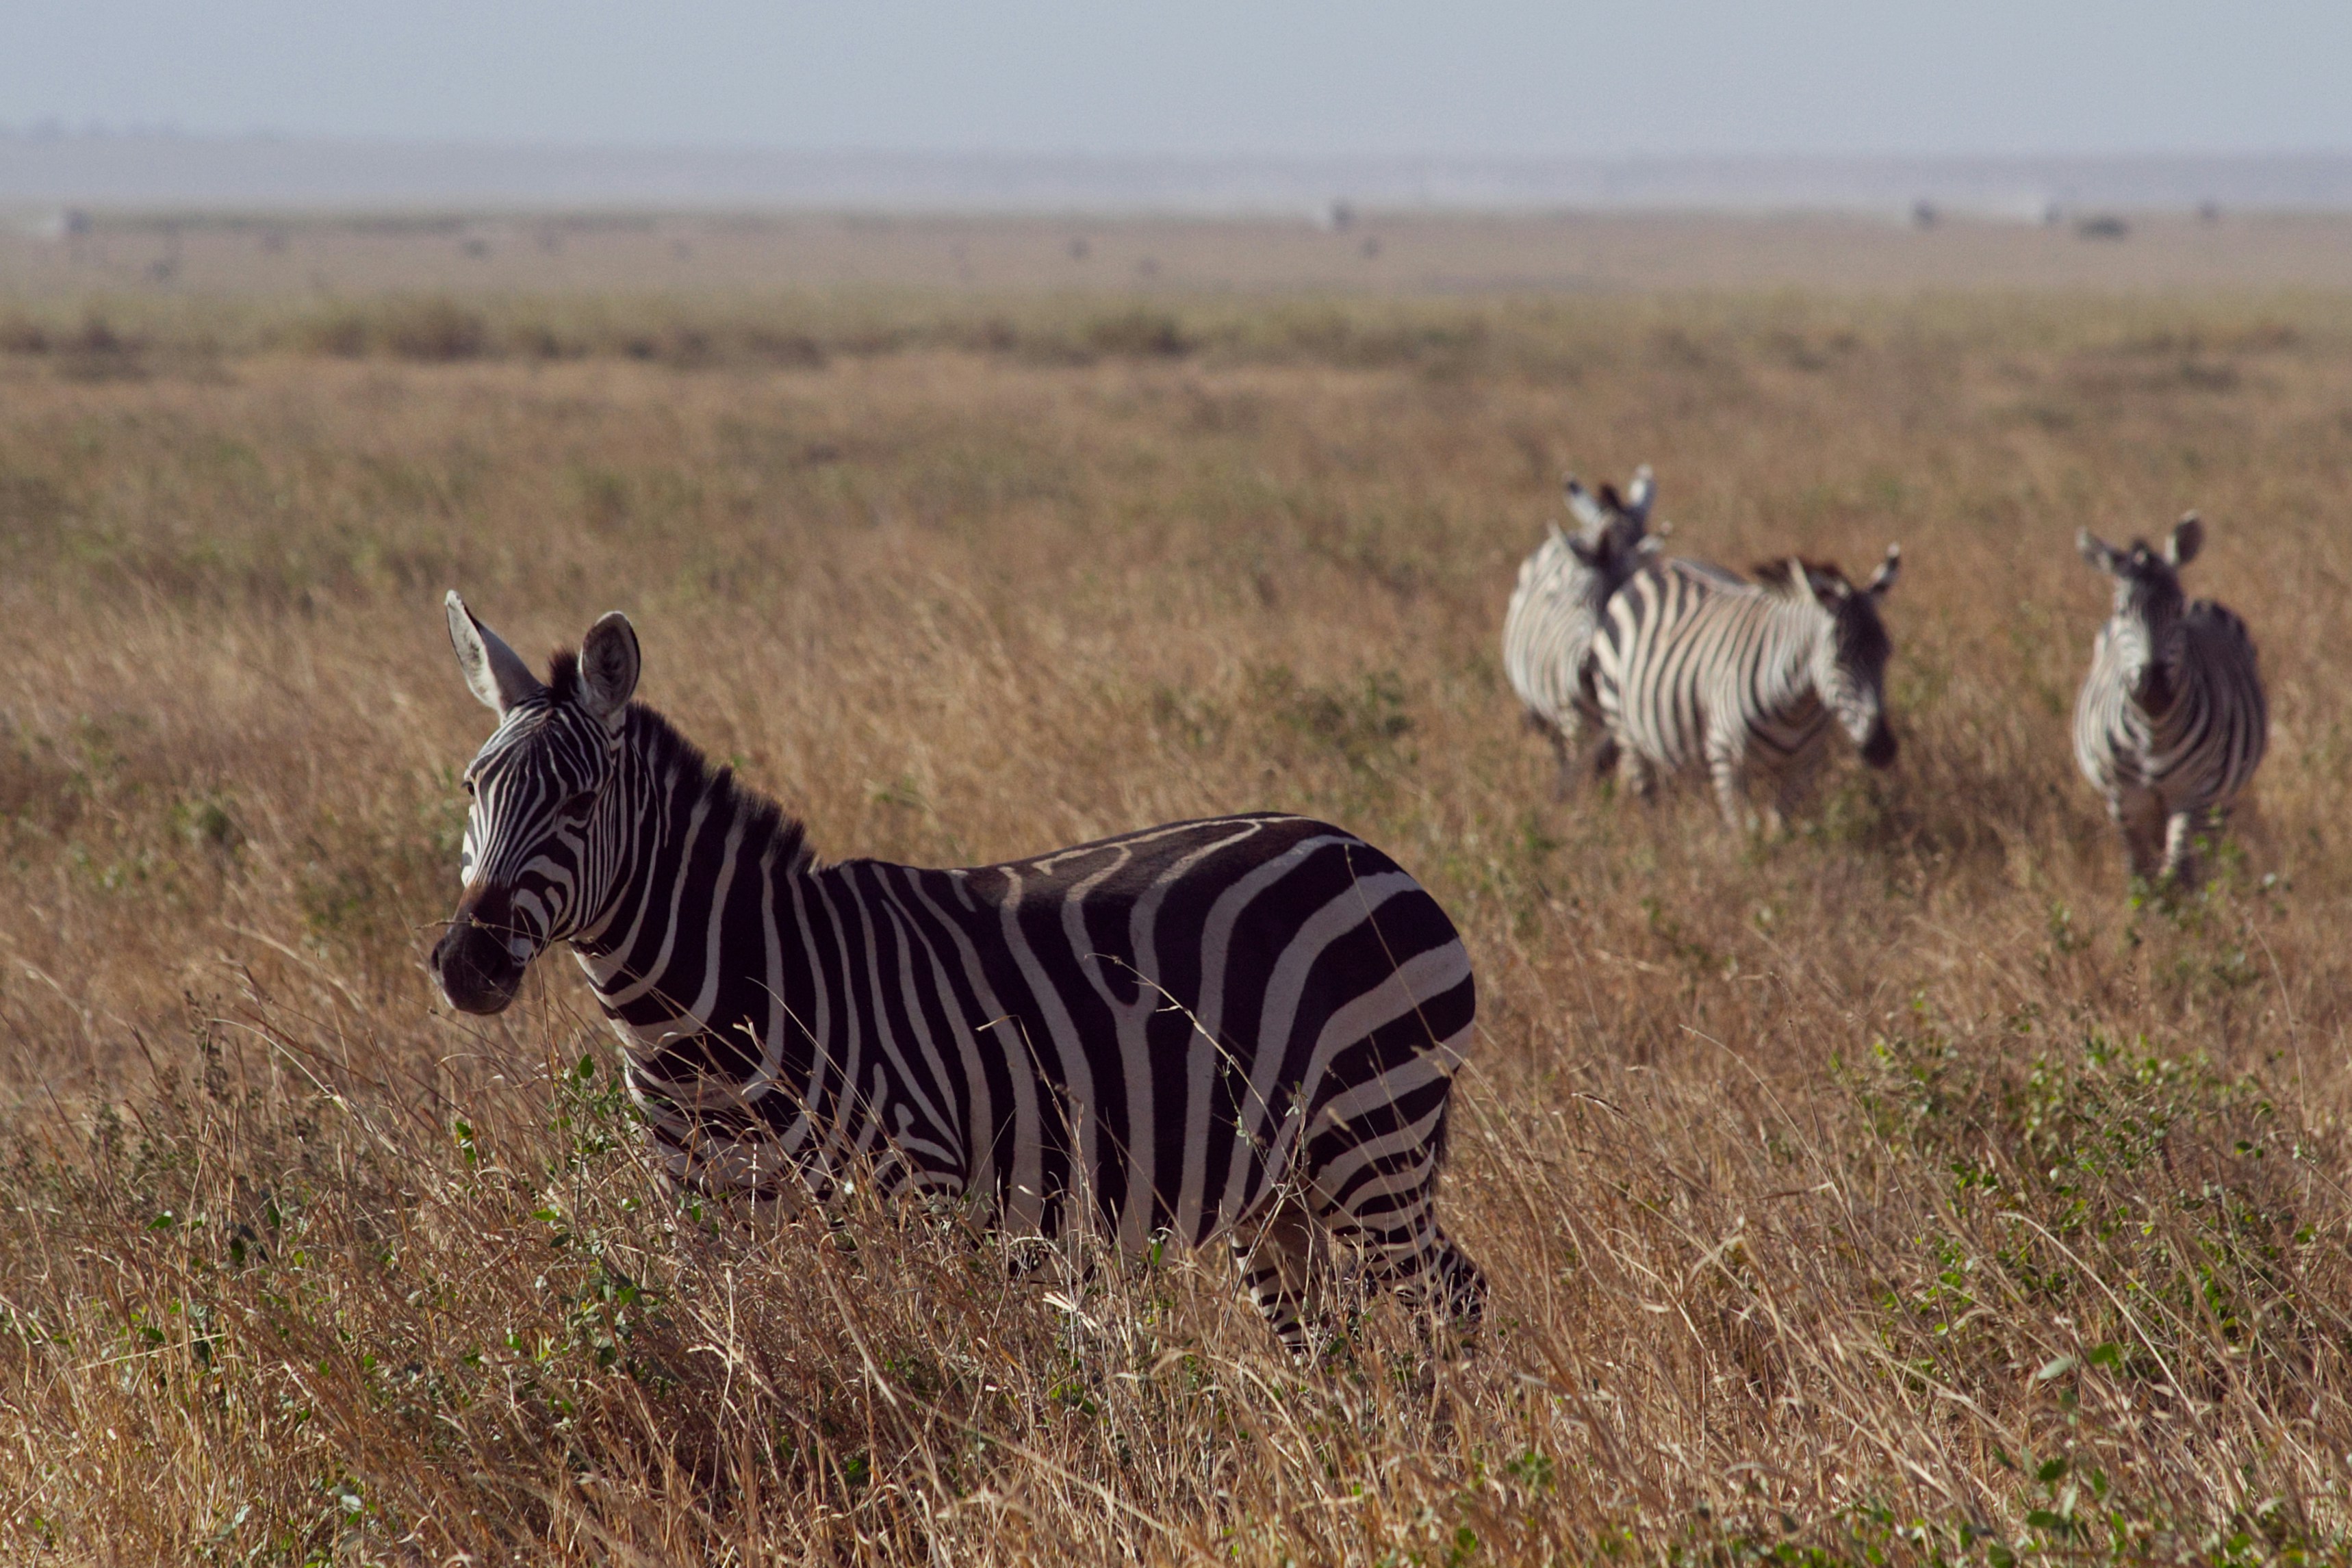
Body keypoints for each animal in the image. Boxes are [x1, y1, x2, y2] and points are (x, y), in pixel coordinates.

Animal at [428, 594, 1483, 1355]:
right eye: (471, 786)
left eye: (579, 800)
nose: (464, 963)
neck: (711, 1024)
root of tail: (1366, 849)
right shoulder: (707, 1218)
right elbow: (735, 1372)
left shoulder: (920, 1202)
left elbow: (933, 1377)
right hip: (1281, 1188)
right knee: (1323, 1335)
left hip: (1372, 1134)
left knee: (1452, 1299)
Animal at [1591, 546, 1901, 829]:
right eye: (1839, 659)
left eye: (1887, 654)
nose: (1882, 750)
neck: (1795, 708)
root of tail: (1661, 565)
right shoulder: (1724, 757)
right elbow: (1742, 831)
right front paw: (1744, 854)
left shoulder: (1804, 766)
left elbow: (1778, 828)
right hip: (1623, 726)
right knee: (1646, 794)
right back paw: (1658, 834)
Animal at [2073, 514, 2266, 888]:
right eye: (2122, 611)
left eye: (2176, 610)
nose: (2155, 689)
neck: (2153, 733)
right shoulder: (2126, 799)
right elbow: (2141, 872)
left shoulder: (2194, 795)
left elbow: (2177, 872)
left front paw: (2180, 900)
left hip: (2221, 796)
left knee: (2205, 850)